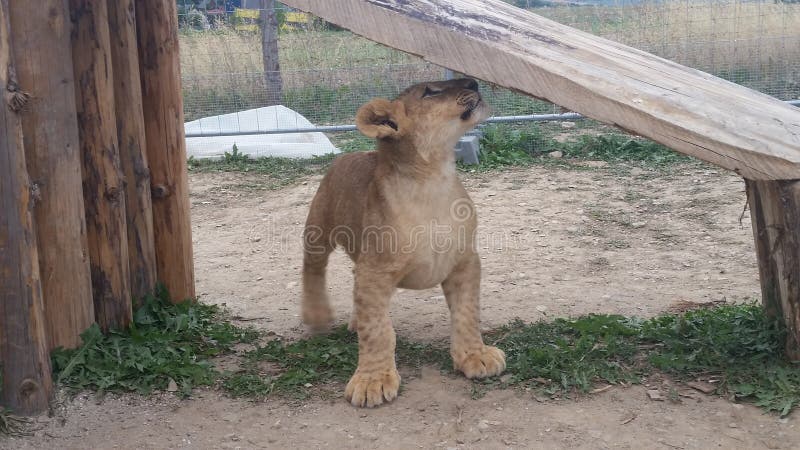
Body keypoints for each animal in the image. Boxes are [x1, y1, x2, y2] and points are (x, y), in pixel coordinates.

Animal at [301, 78, 506, 407]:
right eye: (431, 92)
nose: (473, 82)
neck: (434, 179)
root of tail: (350, 154)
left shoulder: (464, 262)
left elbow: (467, 313)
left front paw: (476, 356)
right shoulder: (376, 270)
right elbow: (378, 330)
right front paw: (372, 381)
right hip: (318, 228)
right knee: (313, 269)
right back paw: (317, 315)